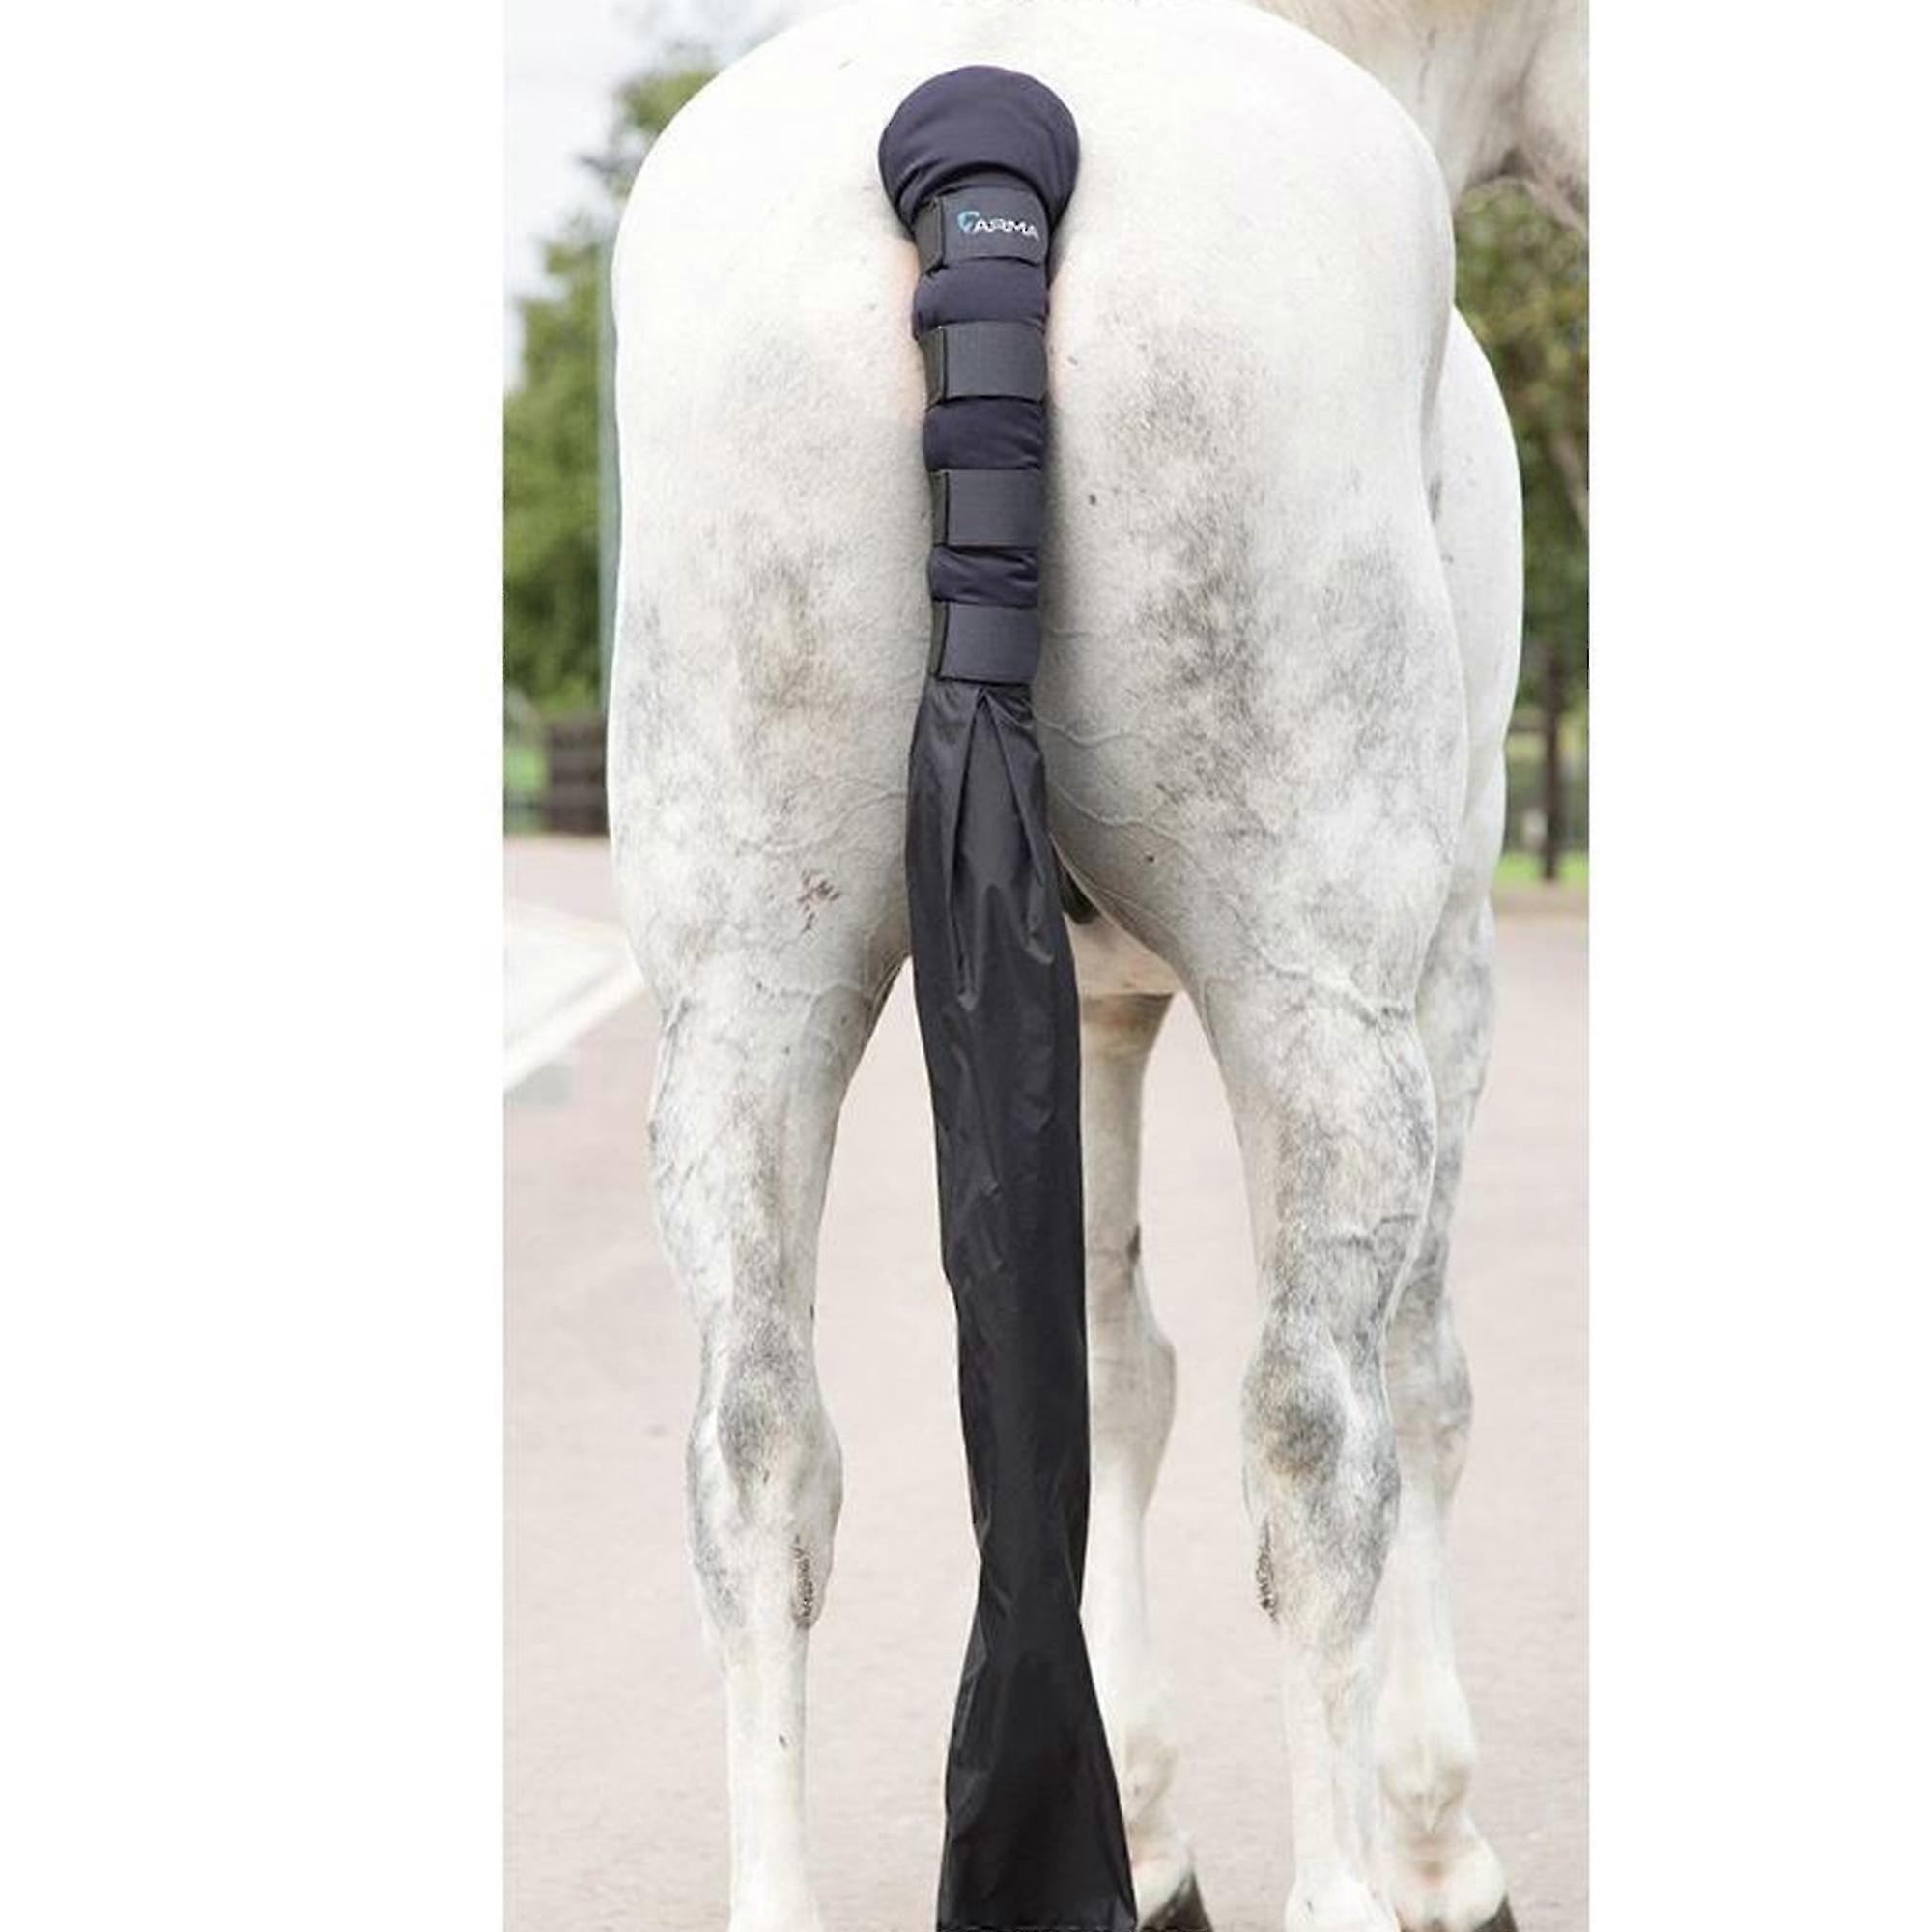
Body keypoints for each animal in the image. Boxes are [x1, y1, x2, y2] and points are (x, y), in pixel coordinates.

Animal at [605, 4, 1586, 1929]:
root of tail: (990, 126)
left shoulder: (1101, 1009)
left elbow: (1105, 1376)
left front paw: (1141, 1817)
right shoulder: (1445, 961)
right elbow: (1422, 1384)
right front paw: (1441, 1839)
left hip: (745, 995)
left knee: (757, 1457)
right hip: (1317, 1000)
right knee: (1318, 1443)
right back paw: (1356, 1883)